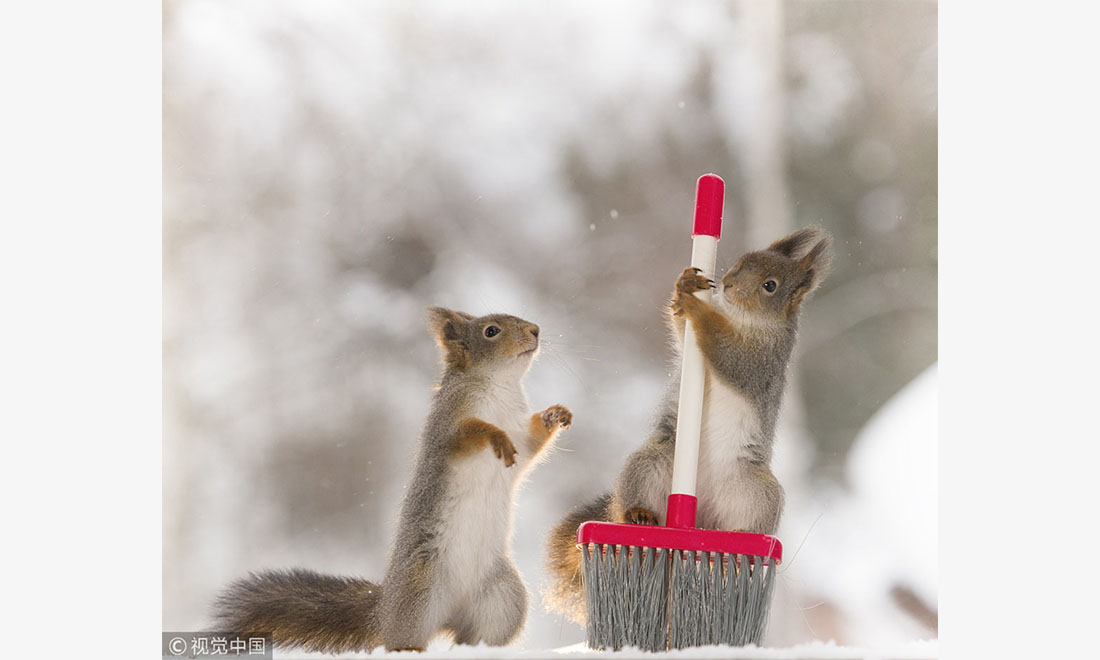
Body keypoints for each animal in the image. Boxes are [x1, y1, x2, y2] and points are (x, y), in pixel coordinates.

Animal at [213, 307, 573, 652]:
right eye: (491, 331)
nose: (535, 330)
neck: (500, 386)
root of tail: (384, 612)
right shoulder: (447, 429)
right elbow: (470, 433)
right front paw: (494, 434)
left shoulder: (521, 439)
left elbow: (531, 444)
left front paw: (556, 414)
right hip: (420, 591)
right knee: (403, 640)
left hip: (503, 599)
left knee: (475, 635)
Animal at [544, 226, 833, 623]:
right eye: (743, 259)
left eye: (770, 286)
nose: (727, 284)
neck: (741, 317)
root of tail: (700, 518)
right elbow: (684, 335)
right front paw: (685, 286)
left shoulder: (762, 361)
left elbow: (727, 352)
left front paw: (699, 308)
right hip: (653, 461)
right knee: (630, 504)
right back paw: (637, 512)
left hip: (757, 492)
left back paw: (740, 542)